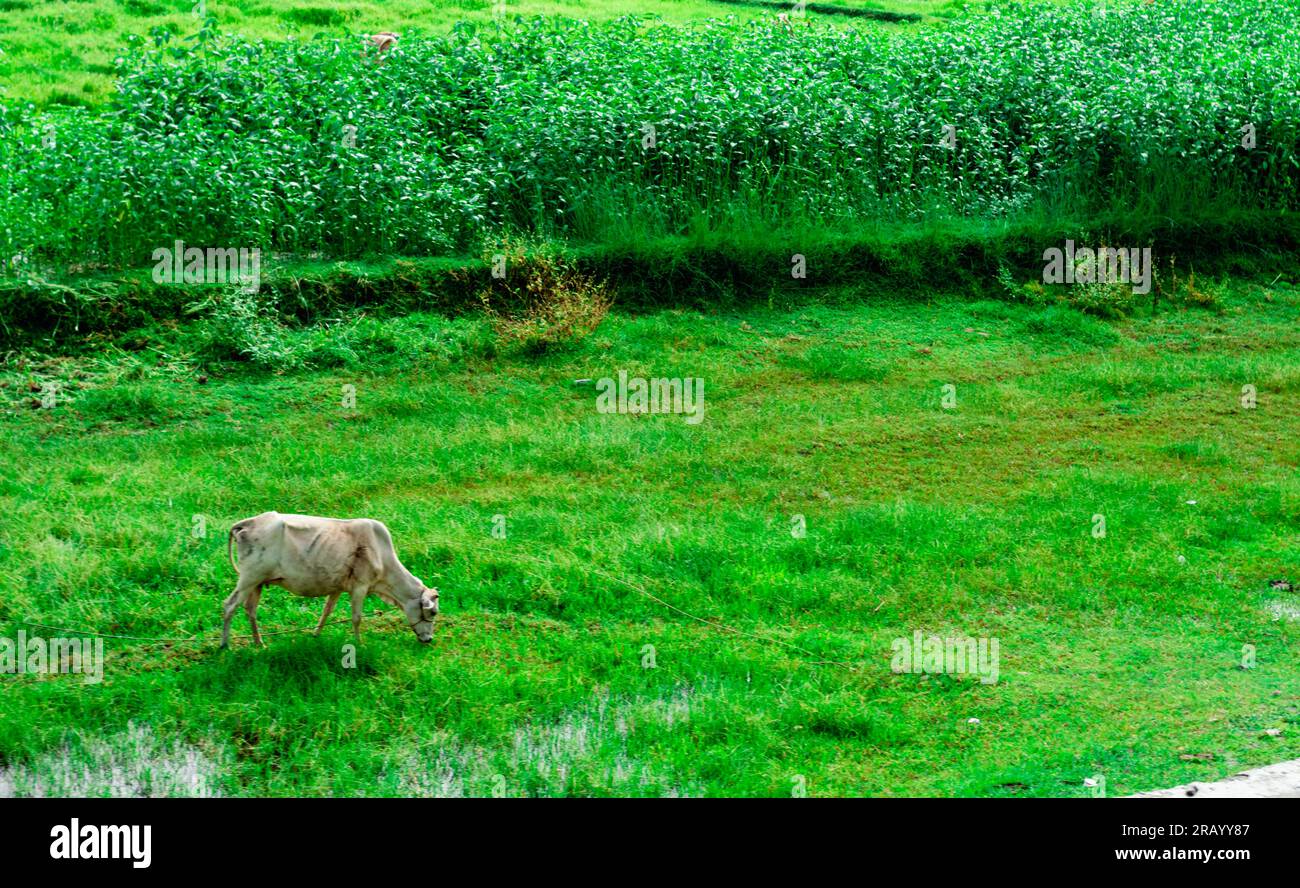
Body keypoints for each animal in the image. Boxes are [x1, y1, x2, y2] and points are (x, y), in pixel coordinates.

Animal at [221, 512, 439, 649]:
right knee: (229, 605)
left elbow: (327, 611)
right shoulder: (360, 587)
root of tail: (248, 522)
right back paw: (225, 645)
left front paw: (315, 634)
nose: (429, 639)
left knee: (250, 610)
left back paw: (259, 643)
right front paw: (359, 643)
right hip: (249, 578)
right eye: (433, 612)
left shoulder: (338, 587)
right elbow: (356, 618)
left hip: (257, 583)